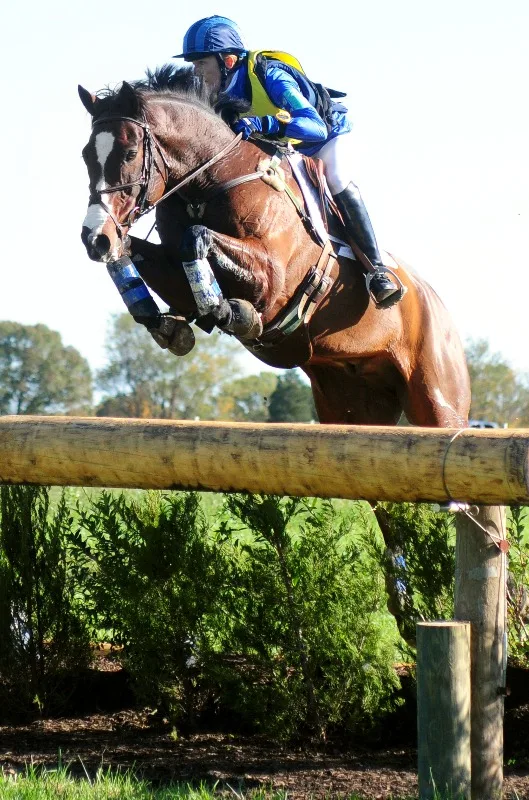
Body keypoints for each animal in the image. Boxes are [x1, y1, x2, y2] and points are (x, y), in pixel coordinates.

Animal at [79, 66, 470, 427]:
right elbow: (137, 254)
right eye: (85, 155)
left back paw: (383, 282)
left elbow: (197, 239)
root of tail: (439, 308)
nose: (95, 238)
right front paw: (164, 323)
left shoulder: (273, 276)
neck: (210, 182)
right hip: (350, 401)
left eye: (130, 153)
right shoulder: (173, 268)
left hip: (438, 398)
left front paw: (231, 312)